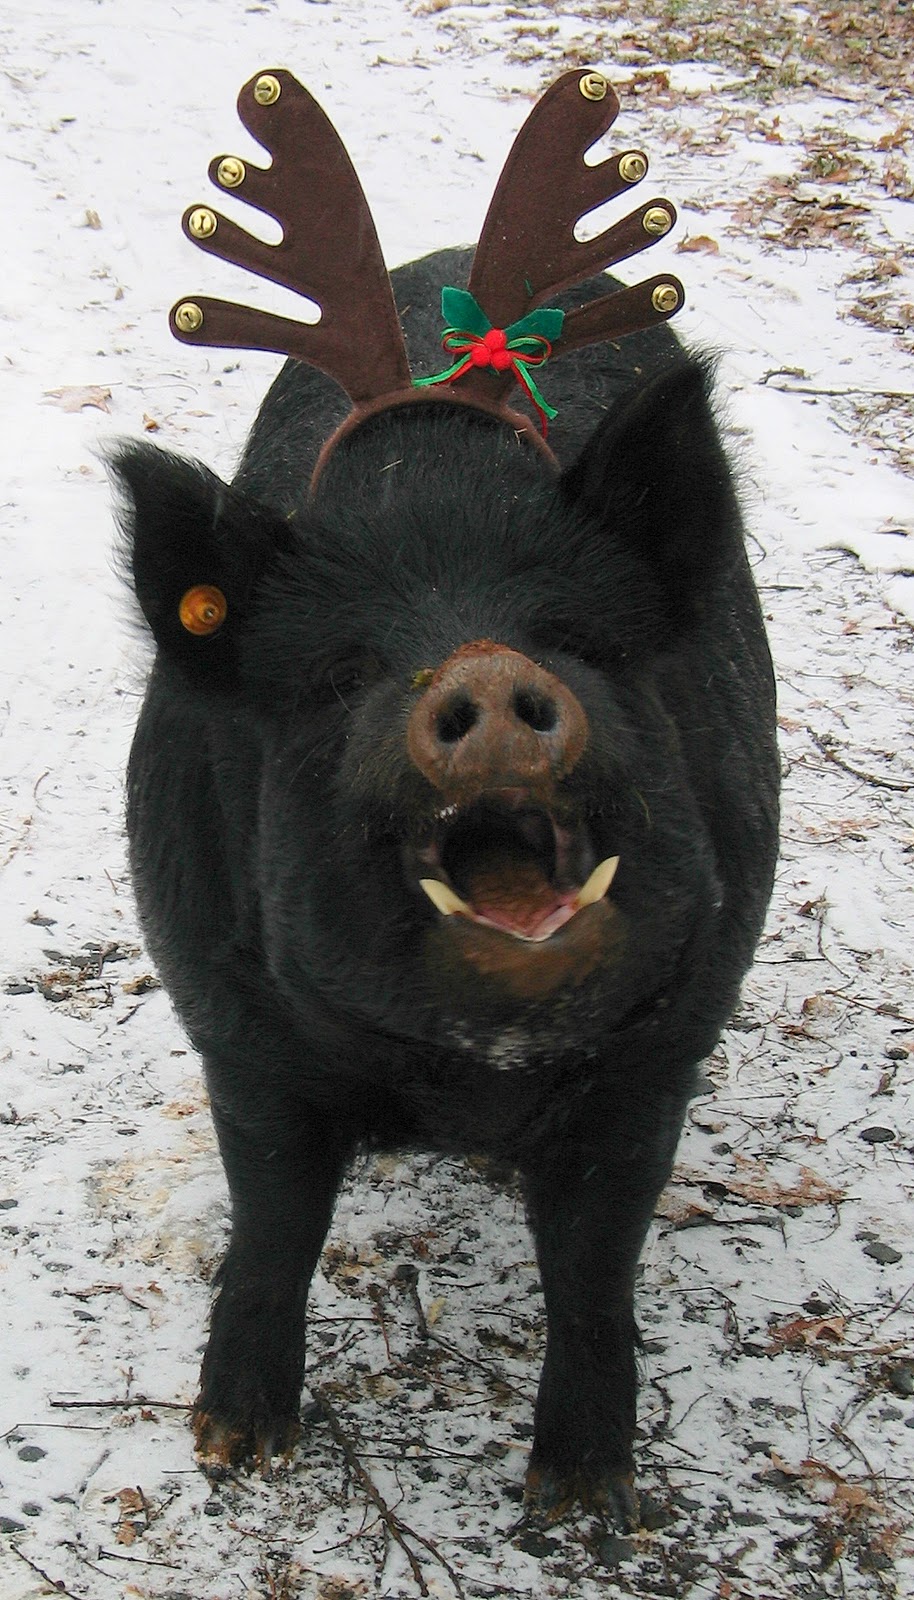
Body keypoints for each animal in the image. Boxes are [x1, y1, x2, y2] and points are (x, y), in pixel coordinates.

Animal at [111, 82, 778, 1530]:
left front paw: (583, 1507)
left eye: (578, 638)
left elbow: (594, 1268)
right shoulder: (232, 1024)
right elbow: (275, 1220)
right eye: (340, 674)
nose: (481, 668)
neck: (462, 1080)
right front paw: (233, 1448)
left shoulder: (661, 1050)